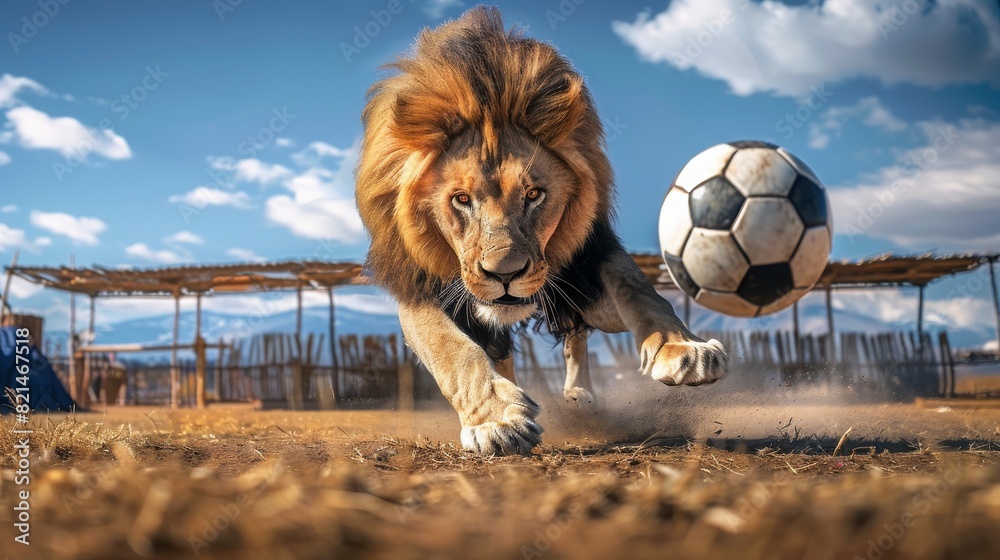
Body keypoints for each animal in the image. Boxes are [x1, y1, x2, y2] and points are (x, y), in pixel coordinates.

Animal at [355, 6, 728, 456]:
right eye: (461, 199)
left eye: (534, 194)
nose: (505, 274)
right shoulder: (413, 283)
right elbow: (450, 349)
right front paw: (498, 419)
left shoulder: (587, 259)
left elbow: (636, 287)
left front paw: (685, 348)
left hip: (586, 304)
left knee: (580, 333)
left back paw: (579, 395)